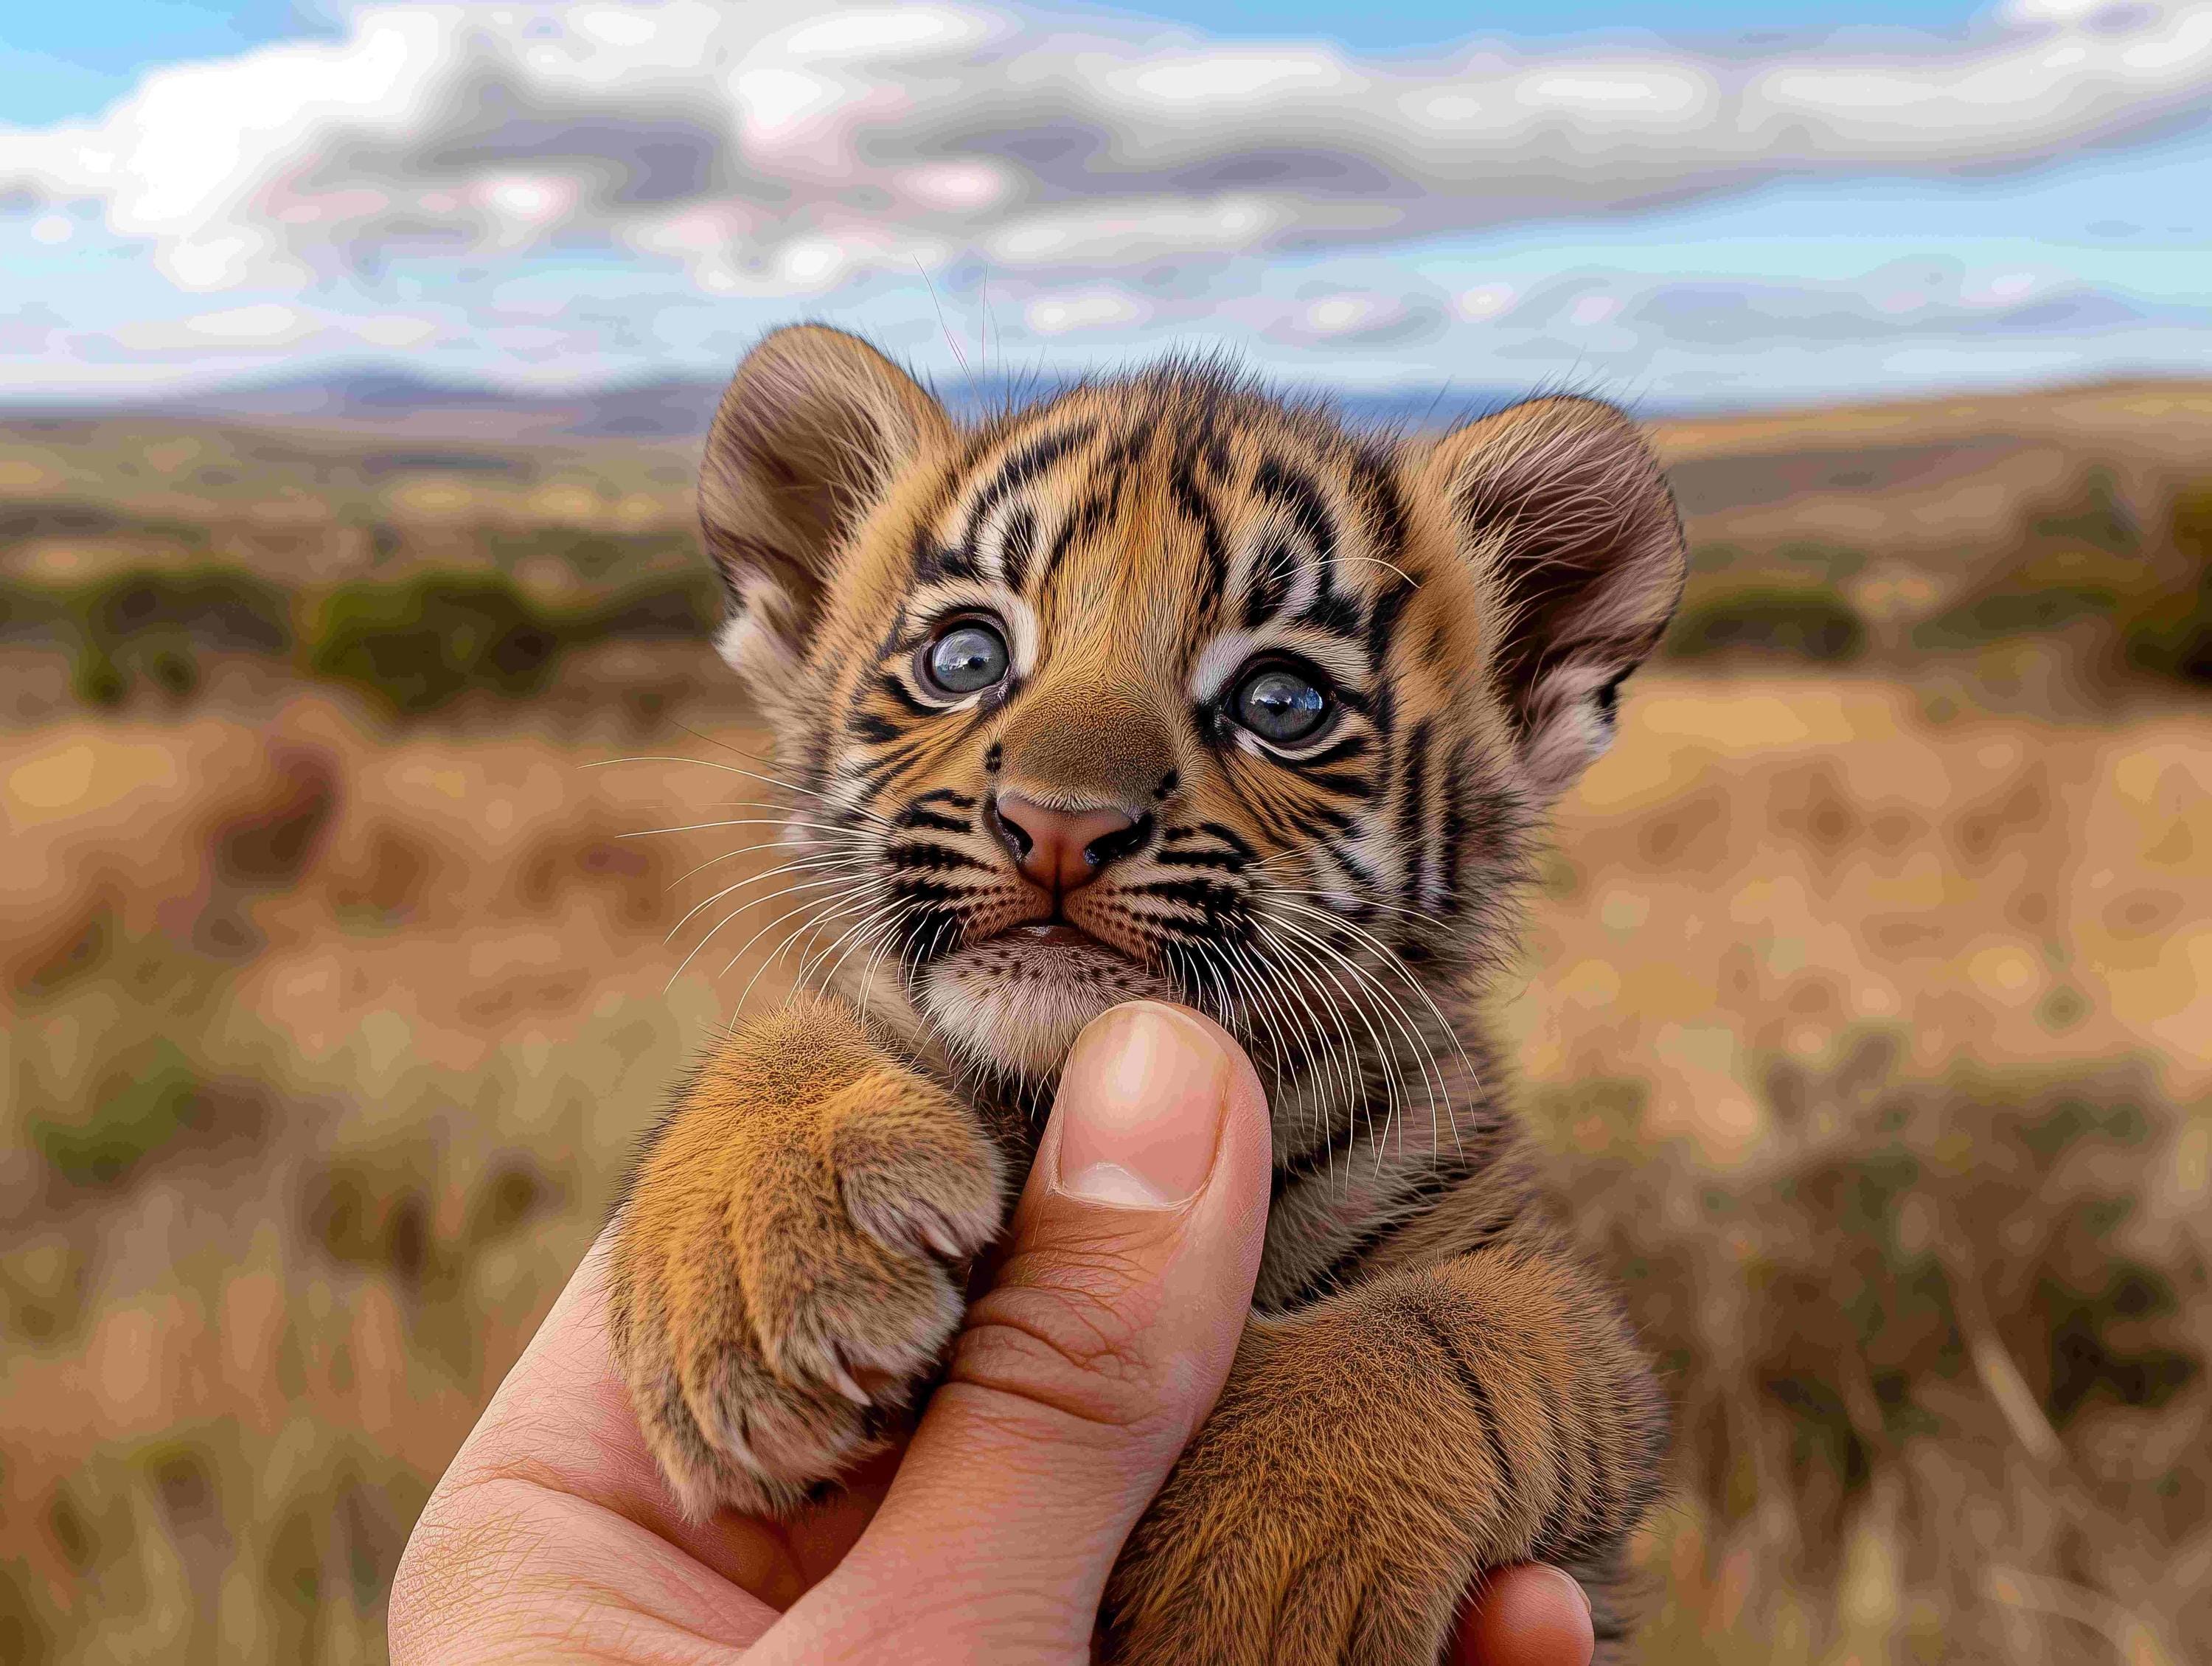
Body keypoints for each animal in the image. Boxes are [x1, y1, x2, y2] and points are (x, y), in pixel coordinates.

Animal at [607, 324, 1683, 1662]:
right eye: (966, 656)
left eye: (1283, 701)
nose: (1059, 824)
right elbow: (801, 1028)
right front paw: (758, 1269)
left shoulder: (1567, 1324)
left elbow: (1457, 1331)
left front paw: (1266, 1569)